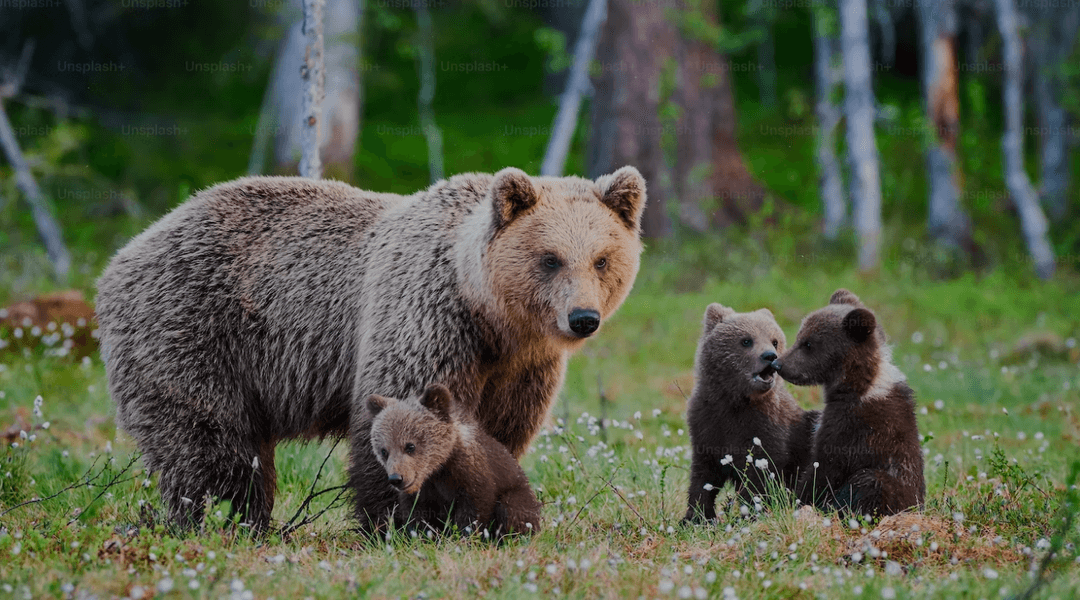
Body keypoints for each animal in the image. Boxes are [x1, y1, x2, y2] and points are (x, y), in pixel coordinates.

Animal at [367, 384, 542, 538]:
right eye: (384, 451)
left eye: (410, 446)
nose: (396, 478)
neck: (438, 468)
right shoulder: (423, 493)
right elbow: (418, 516)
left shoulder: (473, 477)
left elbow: (474, 510)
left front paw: (465, 538)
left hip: (519, 492)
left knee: (513, 508)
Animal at [683, 303, 820, 523]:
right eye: (746, 340)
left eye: (774, 340)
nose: (770, 356)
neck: (736, 402)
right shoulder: (707, 424)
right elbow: (704, 474)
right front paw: (696, 516)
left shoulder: (766, 428)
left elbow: (760, 475)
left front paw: (748, 512)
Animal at [775, 289, 925, 518]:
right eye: (800, 336)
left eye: (808, 344)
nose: (778, 364)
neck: (858, 386)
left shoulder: (853, 427)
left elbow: (825, 468)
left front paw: (796, 500)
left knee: (871, 481)